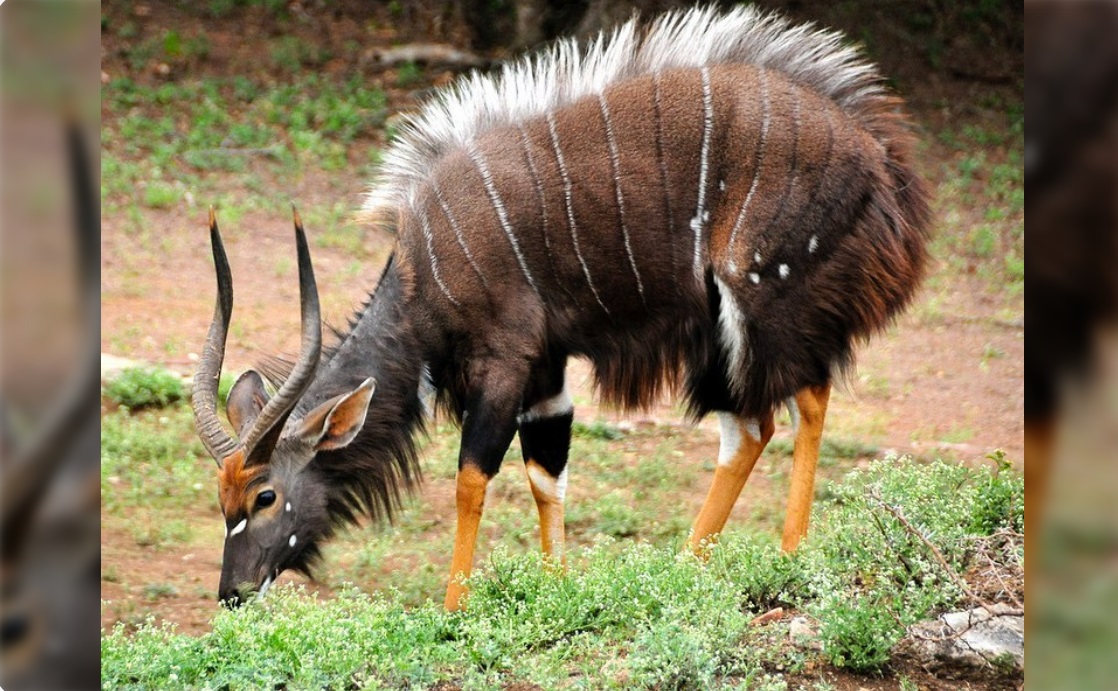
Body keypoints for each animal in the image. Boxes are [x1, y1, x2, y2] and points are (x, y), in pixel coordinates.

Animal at [193, 7, 930, 610]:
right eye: (221, 498)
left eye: (264, 494)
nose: (232, 591)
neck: (420, 279)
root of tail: (878, 160)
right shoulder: (546, 373)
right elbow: (546, 474)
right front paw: (557, 588)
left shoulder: (505, 361)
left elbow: (472, 477)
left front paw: (453, 609)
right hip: (723, 335)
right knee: (752, 424)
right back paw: (686, 566)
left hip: (763, 300)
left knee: (803, 399)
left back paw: (787, 552)